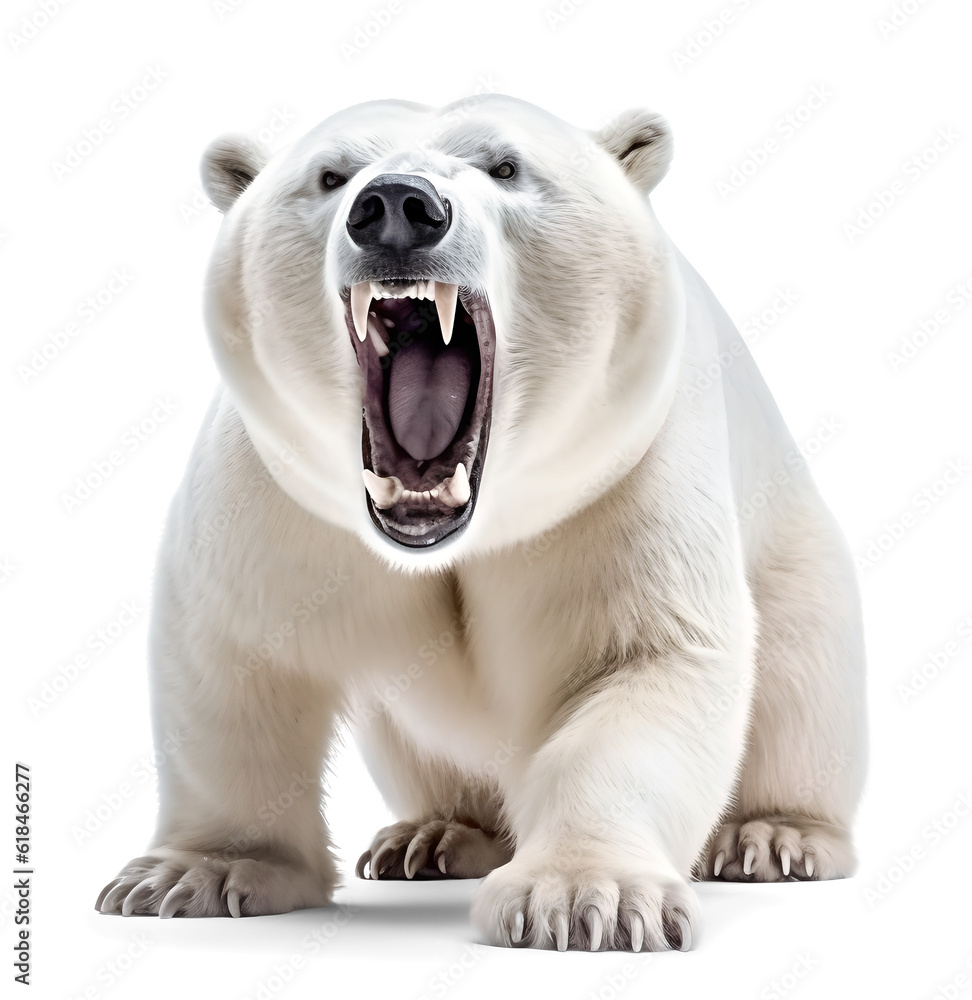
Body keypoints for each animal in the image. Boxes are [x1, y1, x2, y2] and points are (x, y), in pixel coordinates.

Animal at [95, 95, 867, 952]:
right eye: (330, 175)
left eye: (504, 166)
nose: (397, 207)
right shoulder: (274, 502)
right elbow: (235, 662)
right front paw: (196, 874)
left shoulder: (625, 479)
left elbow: (641, 660)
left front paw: (583, 897)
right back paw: (434, 836)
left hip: (800, 563)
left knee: (802, 681)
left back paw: (775, 836)